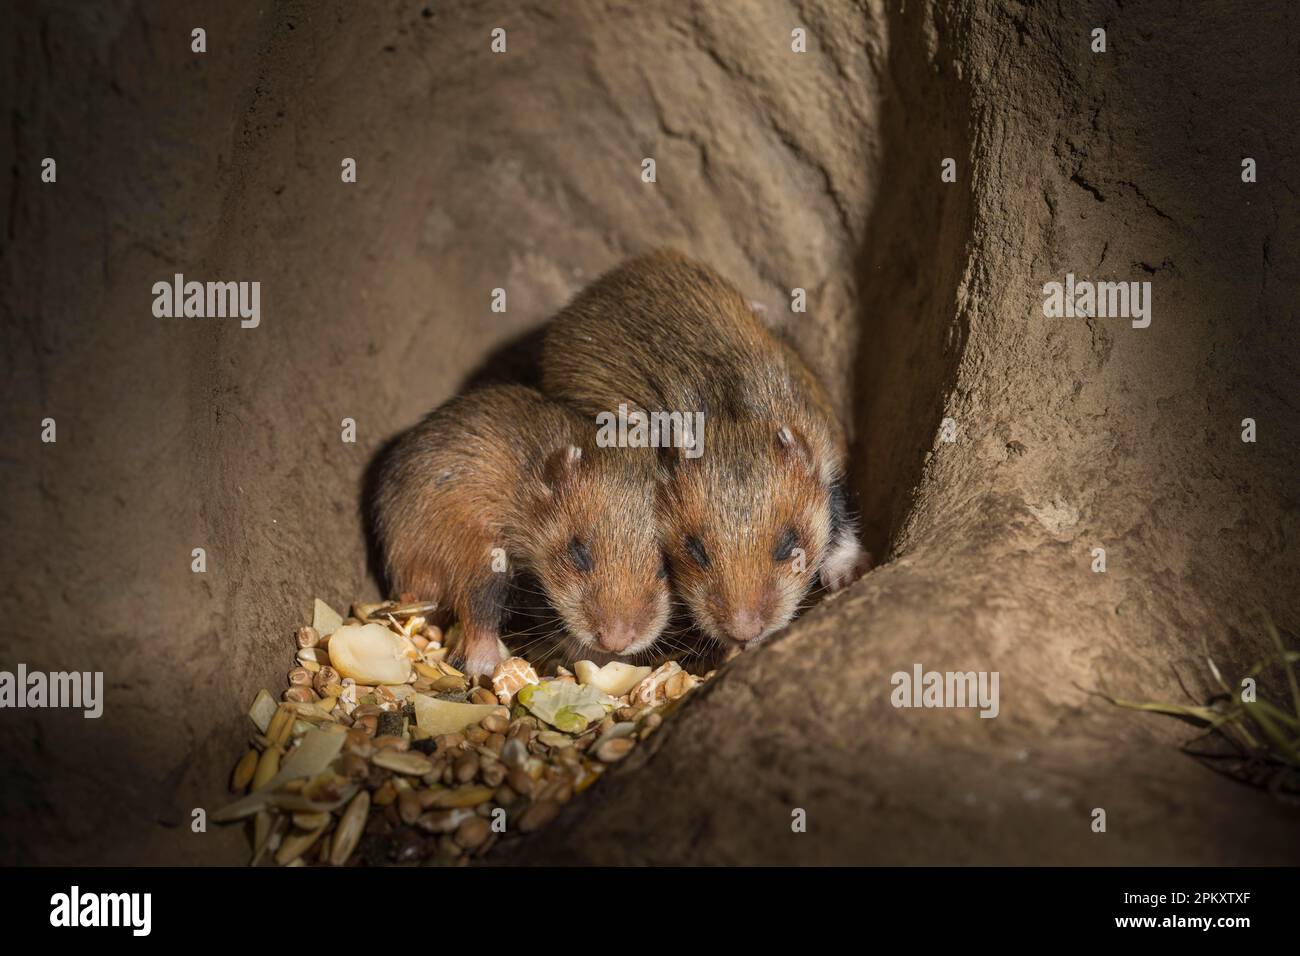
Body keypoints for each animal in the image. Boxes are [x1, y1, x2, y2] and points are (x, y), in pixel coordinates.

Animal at [541, 250, 867, 651]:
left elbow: (839, 514)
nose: (744, 635)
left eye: (789, 544)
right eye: (695, 549)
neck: (727, 414)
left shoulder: (822, 450)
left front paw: (851, 573)